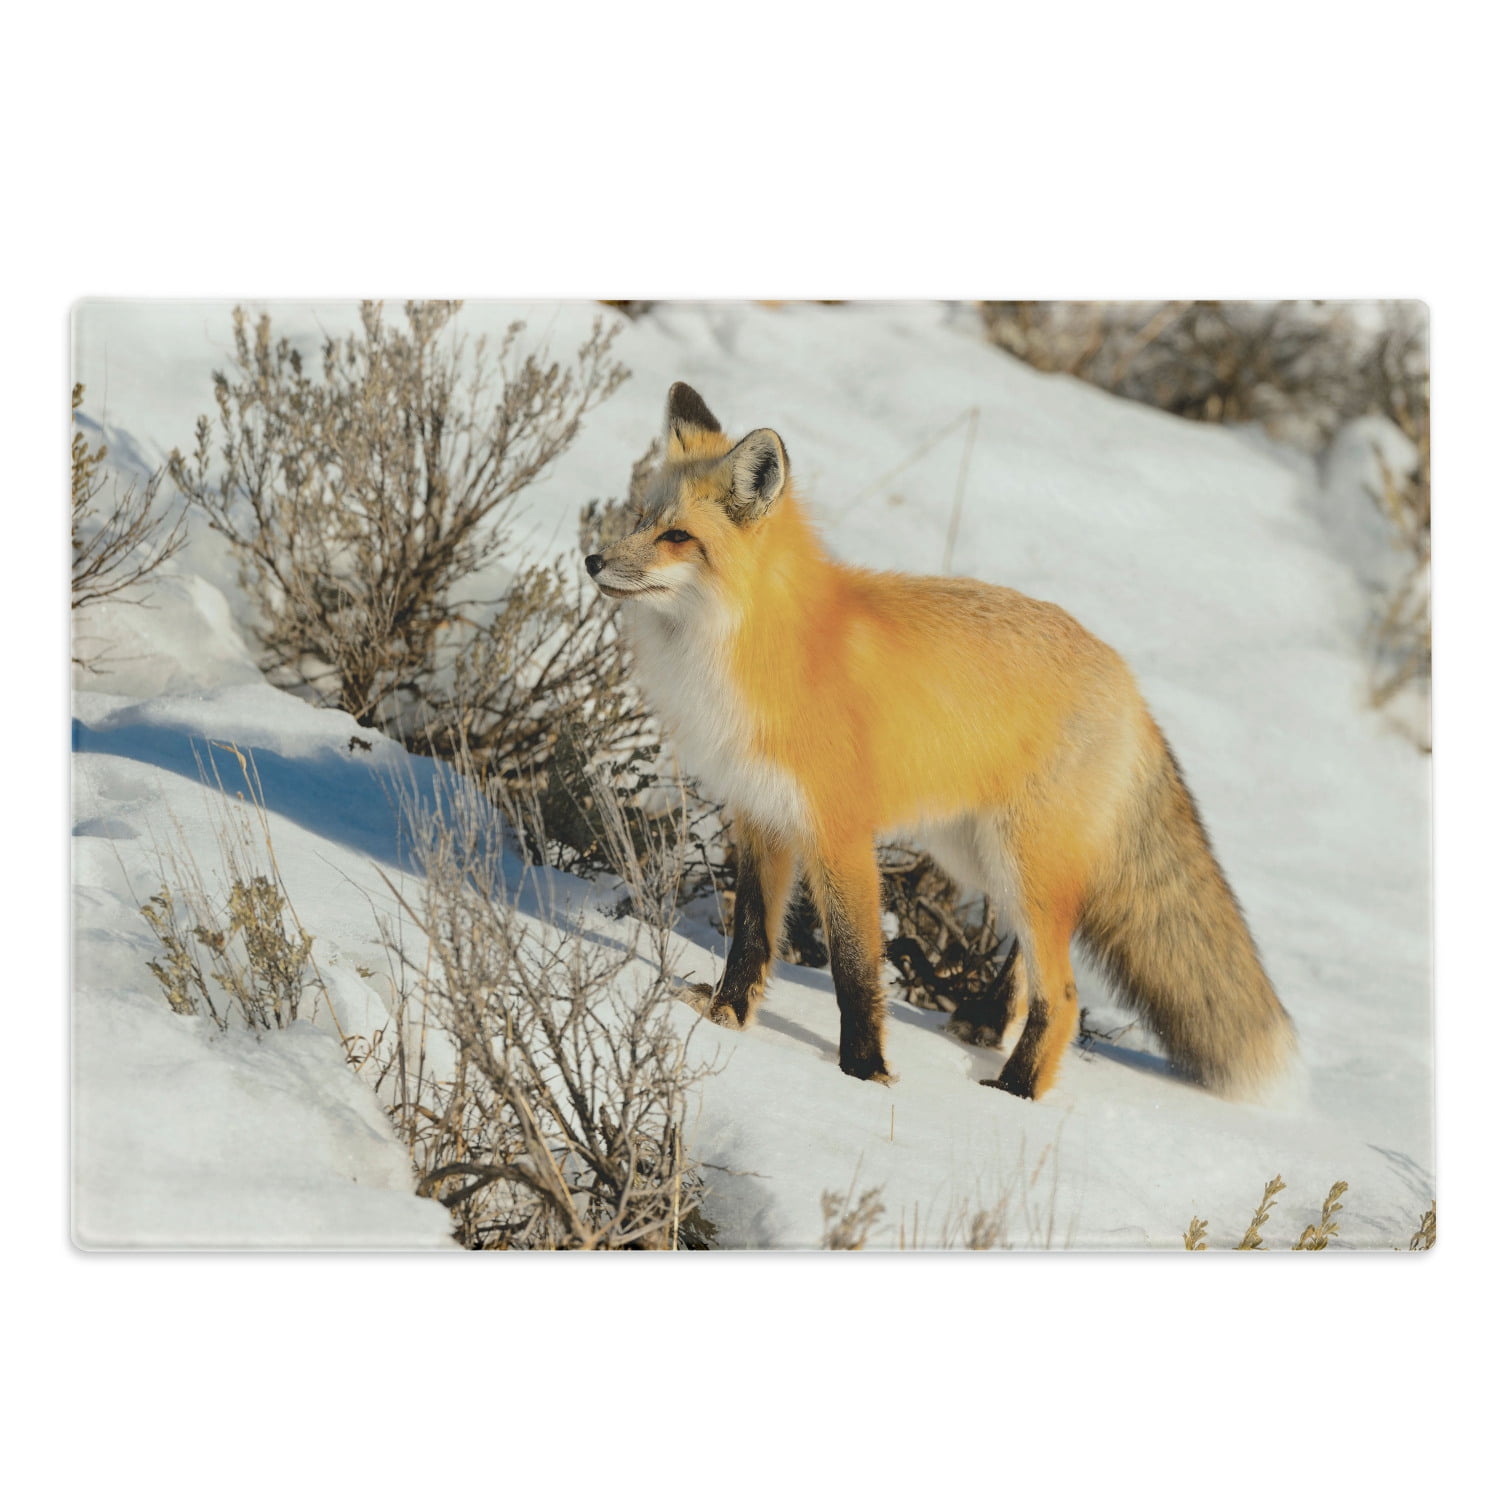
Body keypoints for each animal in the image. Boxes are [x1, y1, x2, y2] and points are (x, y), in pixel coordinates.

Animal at [584, 381, 1296, 1101]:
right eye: (640, 517)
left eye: (678, 537)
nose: (592, 559)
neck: (755, 645)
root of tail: (1129, 682)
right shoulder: (760, 814)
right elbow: (752, 934)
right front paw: (728, 1015)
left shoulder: (840, 835)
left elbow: (855, 969)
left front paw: (864, 1072)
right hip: (978, 858)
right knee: (1035, 963)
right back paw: (987, 1021)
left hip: (1019, 860)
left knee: (1065, 995)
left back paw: (1016, 1089)